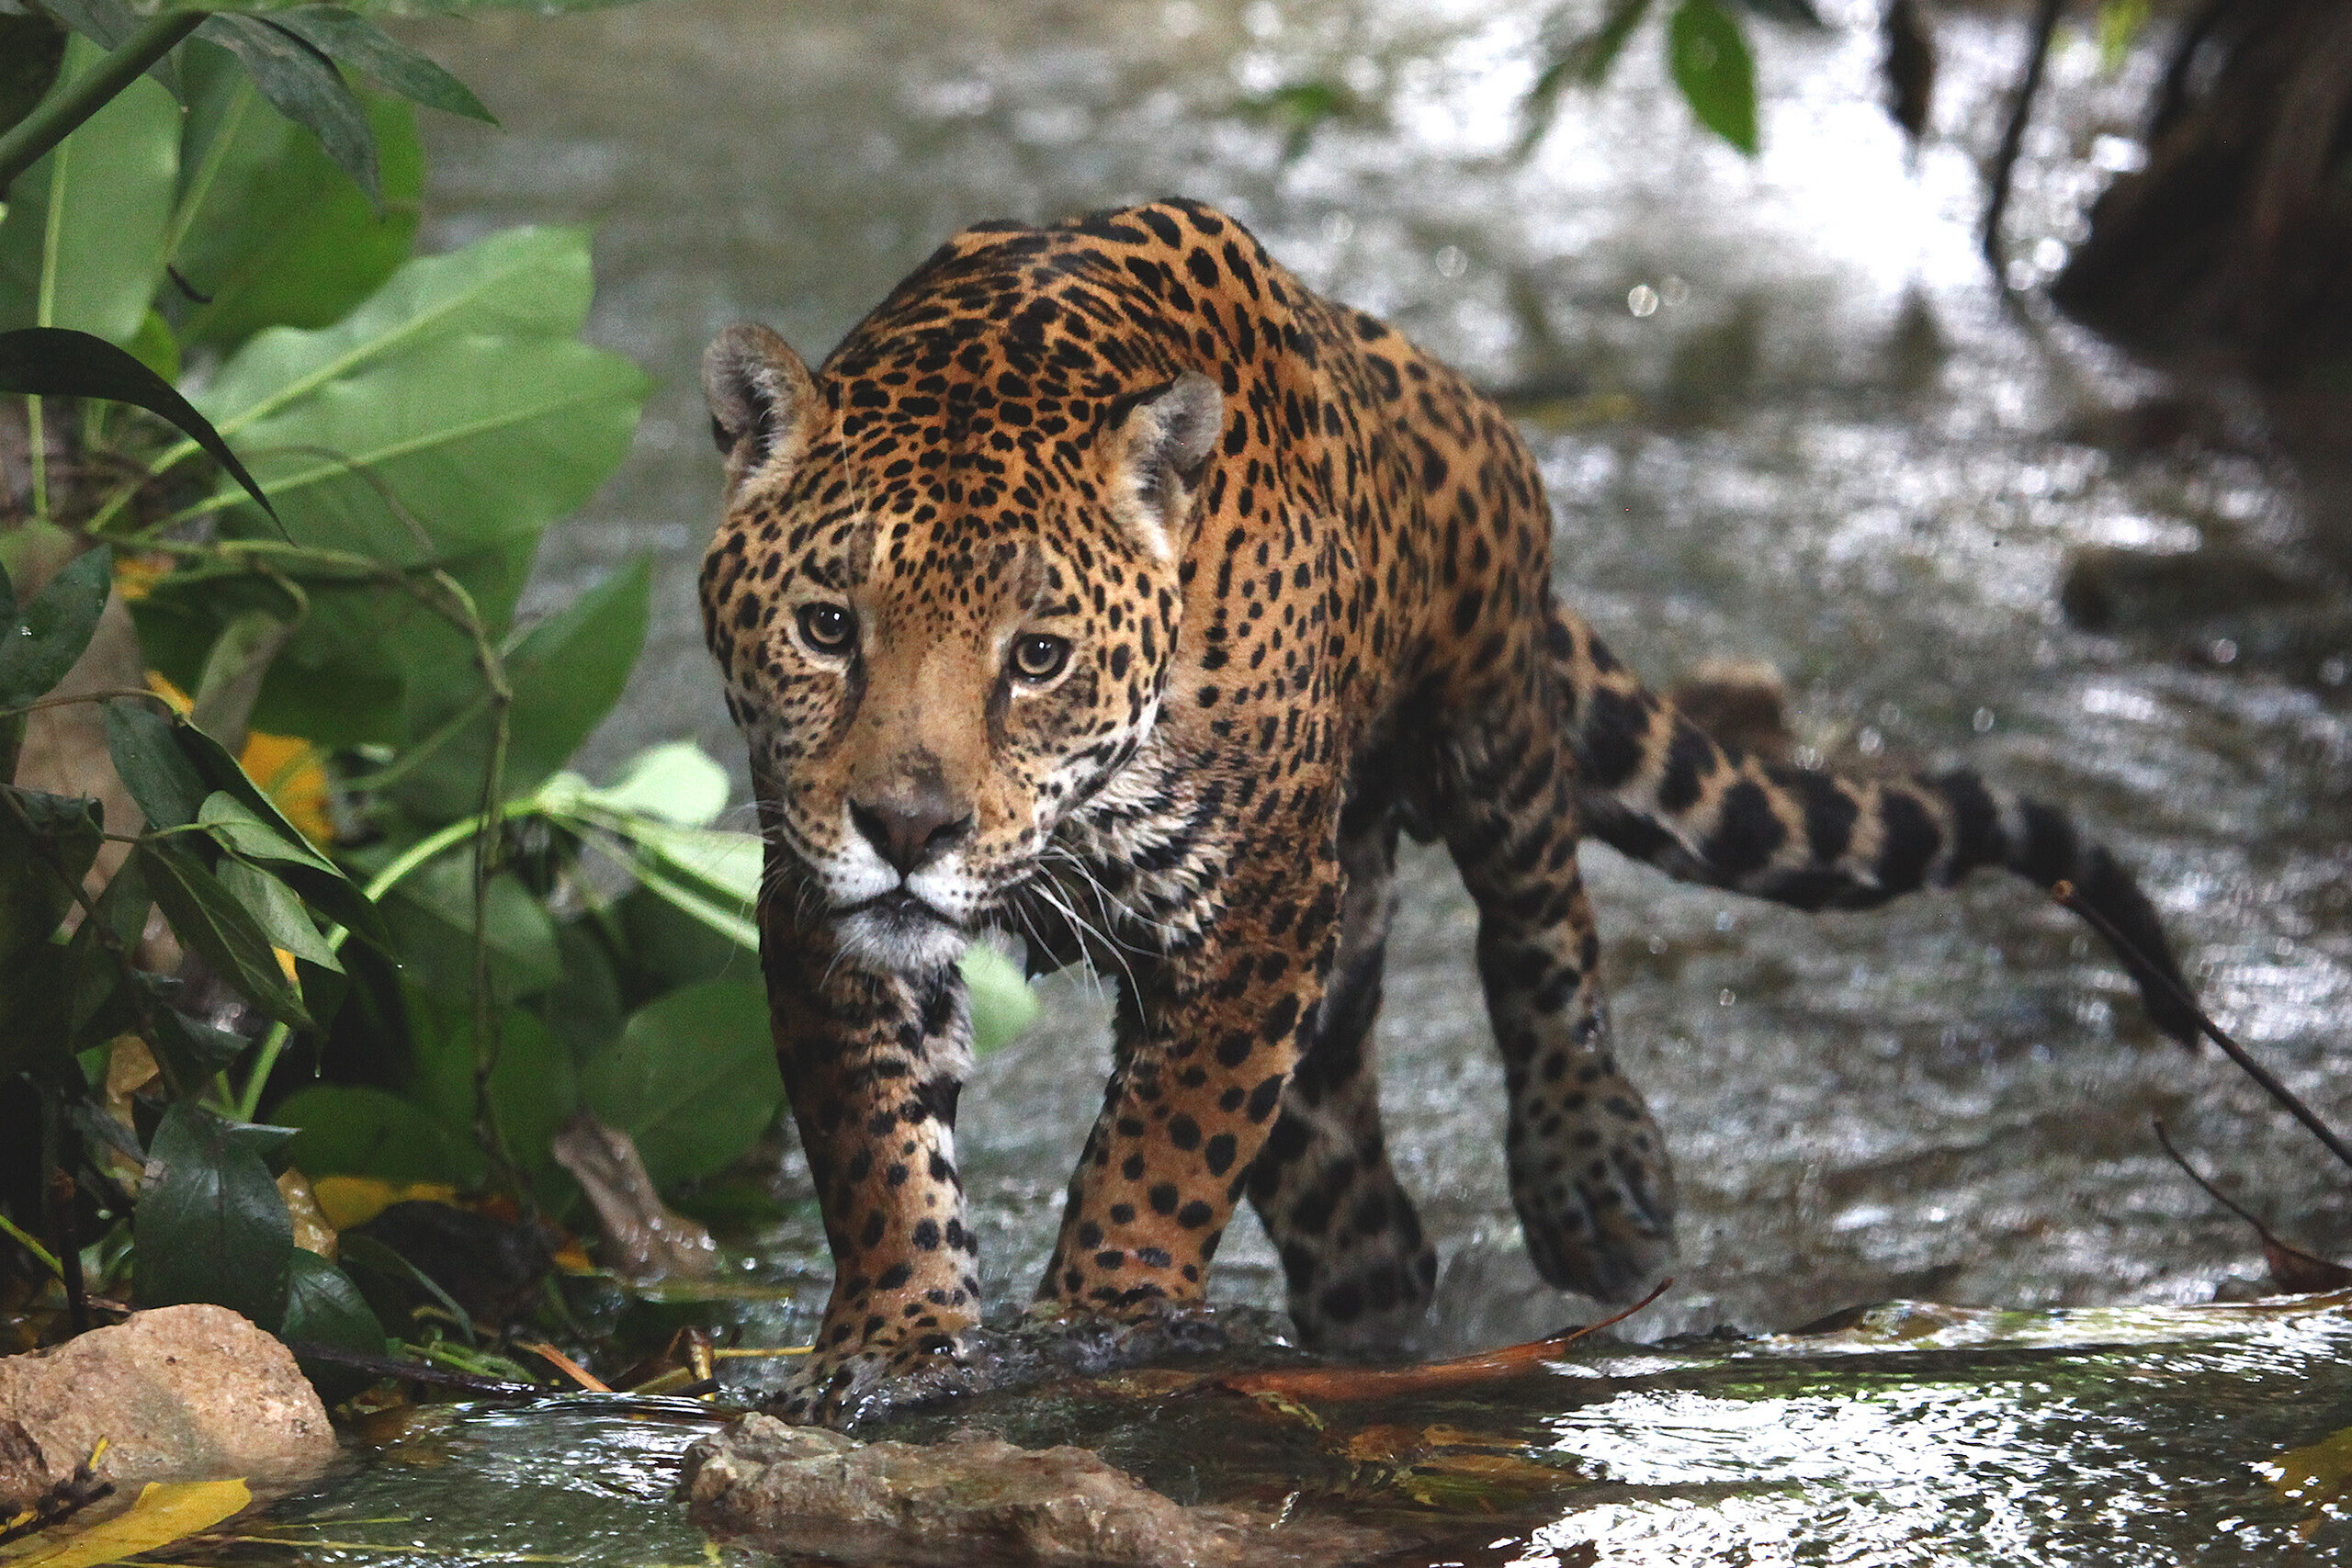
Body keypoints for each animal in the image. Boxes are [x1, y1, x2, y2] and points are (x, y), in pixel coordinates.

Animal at [697, 197, 2199, 1426]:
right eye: (827, 628)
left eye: (1038, 657)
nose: (908, 828)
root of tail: (1423, 379)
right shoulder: (817, 895)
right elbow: (874, 1141)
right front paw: (899, 1340)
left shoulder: (1254, 909)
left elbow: (1165, 1143)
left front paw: (1102, 1318)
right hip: (1338, 969)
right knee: (1358, 1206)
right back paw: (1371, 1336)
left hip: (1487, 725)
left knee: (1541, 929)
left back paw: (1592, 1180)